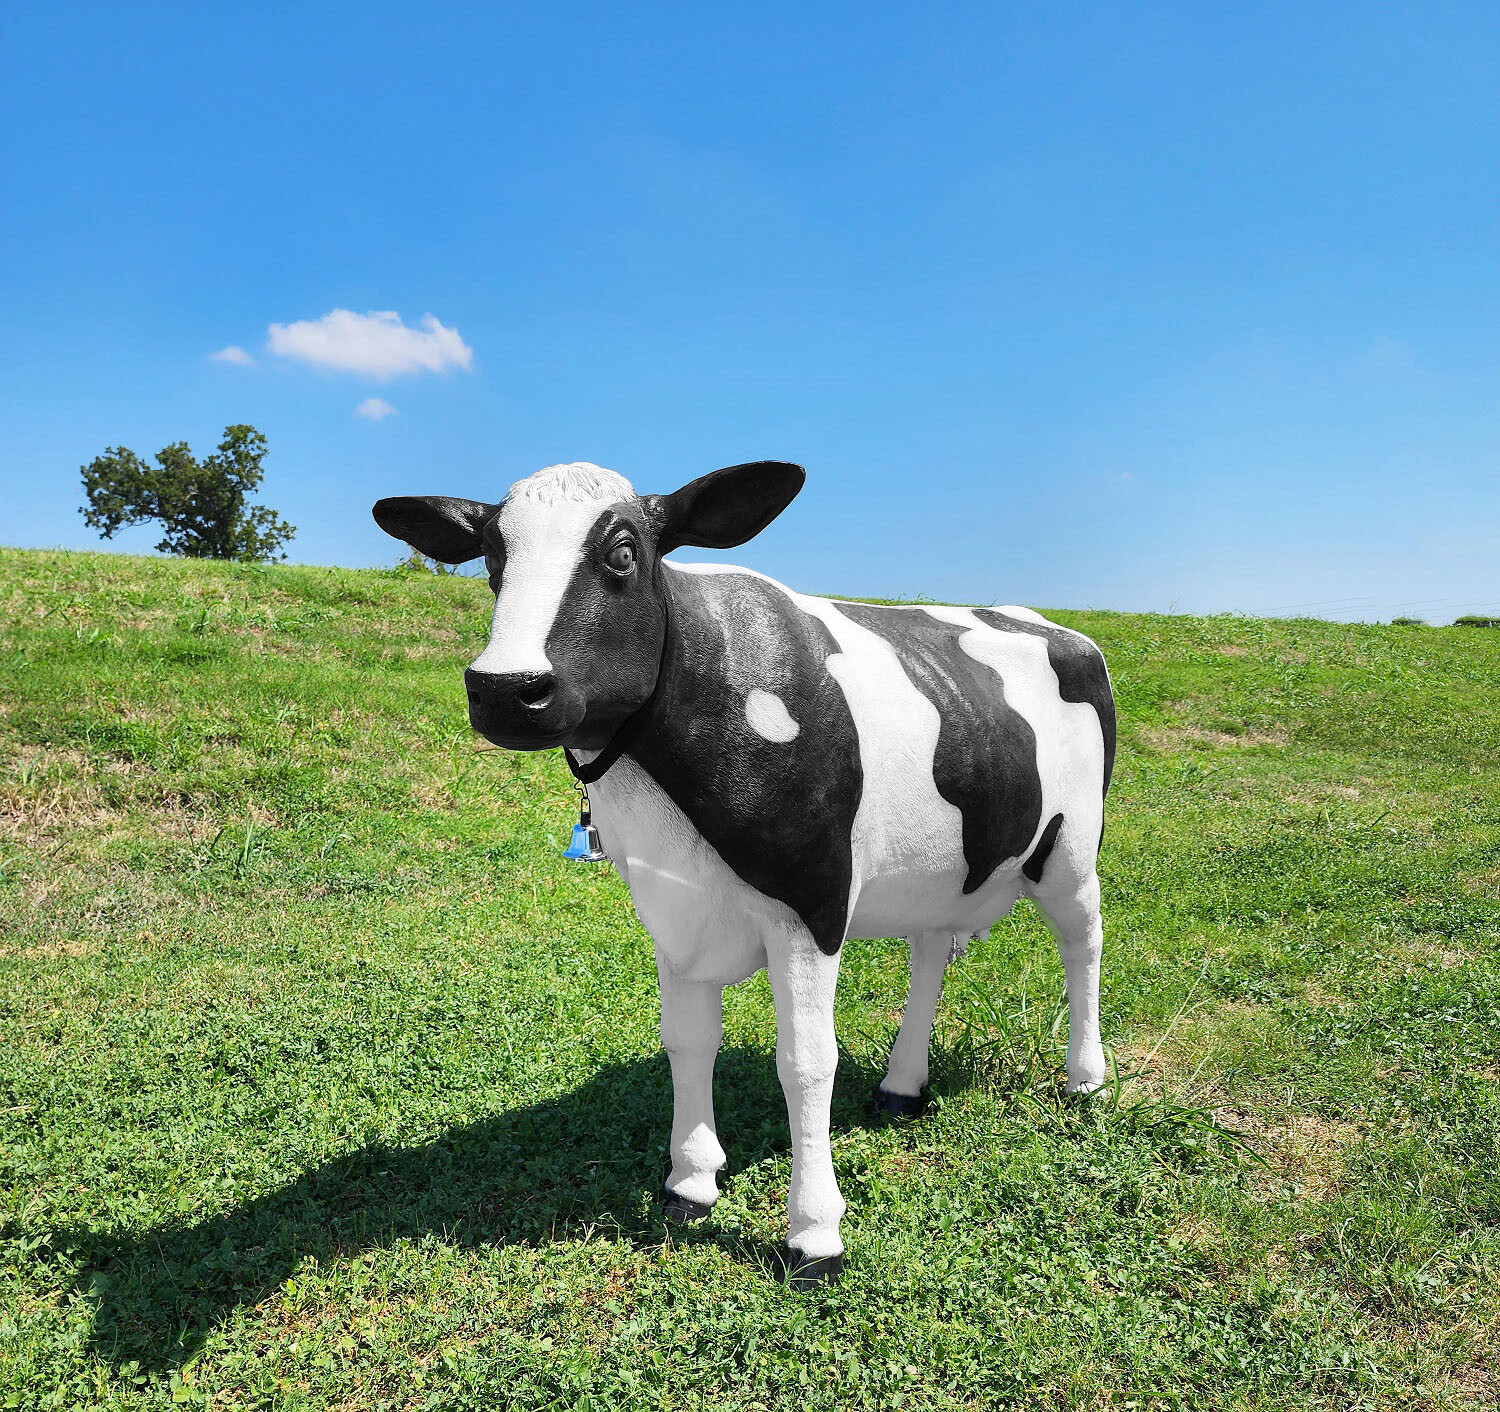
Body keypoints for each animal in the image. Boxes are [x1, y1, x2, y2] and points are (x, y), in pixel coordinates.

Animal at [372, 459, 1115, 1286]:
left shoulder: (812, 900)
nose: (505, 689)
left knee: (1083, 941)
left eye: (623, 552)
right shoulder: (672, 908)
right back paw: (902, 1086)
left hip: (1070, 848)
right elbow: (688, 1040)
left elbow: (807, 1062)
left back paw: (1085, 1079)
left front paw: (815, 1234)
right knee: (929, 955)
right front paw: (691, 1182)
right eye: (492, 557)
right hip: (937, 871)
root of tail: (1058, 627)